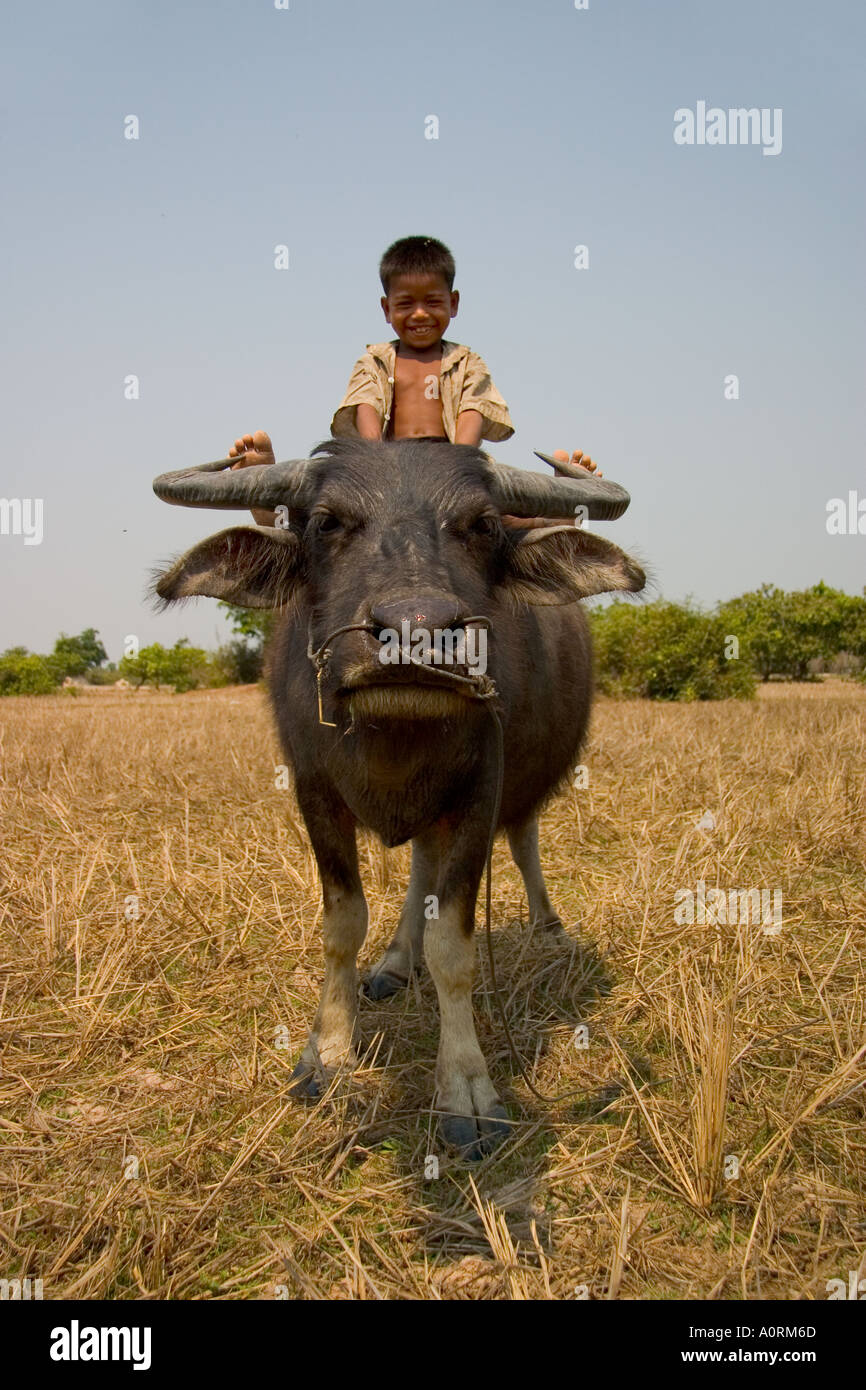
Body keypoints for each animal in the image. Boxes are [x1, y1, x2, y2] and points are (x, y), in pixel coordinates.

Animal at [153, 439, 644, 1158]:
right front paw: (327, 1054)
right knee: (420, 868)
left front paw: (467, 1090)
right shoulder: (314, 792)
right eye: (326, 521)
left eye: (483, 524)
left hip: (529, 782)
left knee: (522, 839)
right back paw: (394, 961)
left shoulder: (480, 794)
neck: (392, 732)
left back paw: (548, 928)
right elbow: (343, 924)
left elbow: (454, 948)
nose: (416, 634)